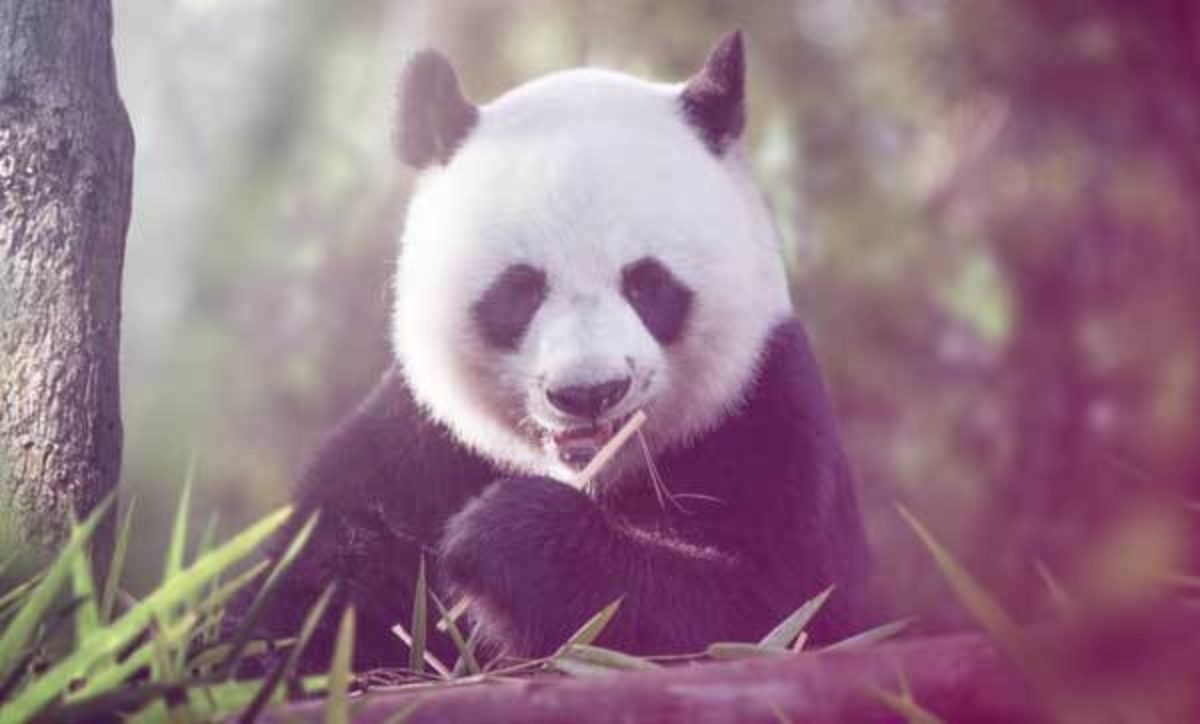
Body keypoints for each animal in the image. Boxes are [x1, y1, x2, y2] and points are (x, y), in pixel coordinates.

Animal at [249, 30, 871, 670]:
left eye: (647, 283)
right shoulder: (416, 449)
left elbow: (772, 614)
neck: (590, 475)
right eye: (520, 289)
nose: (589, 392)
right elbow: (305, 595)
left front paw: (503, 535)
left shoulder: (766, 420)